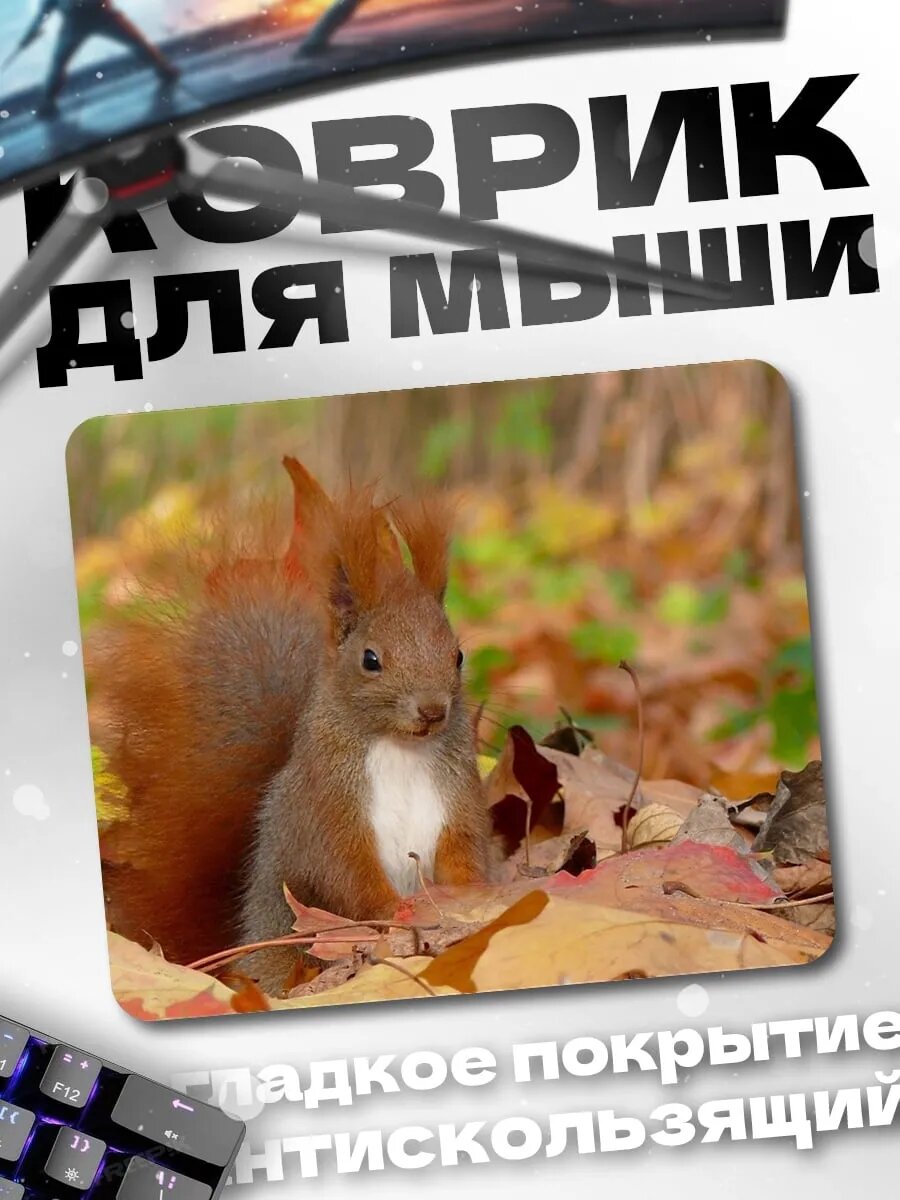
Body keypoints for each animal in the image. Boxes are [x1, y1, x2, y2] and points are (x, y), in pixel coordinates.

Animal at [90, 456, 489, 995]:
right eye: (371, 659)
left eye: (458, 655)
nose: (432, 711)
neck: (400, 749)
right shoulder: (326, 809)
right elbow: (346, 873)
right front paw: (396, 910)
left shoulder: (458, 796)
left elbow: (464, 852)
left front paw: (473, 900)